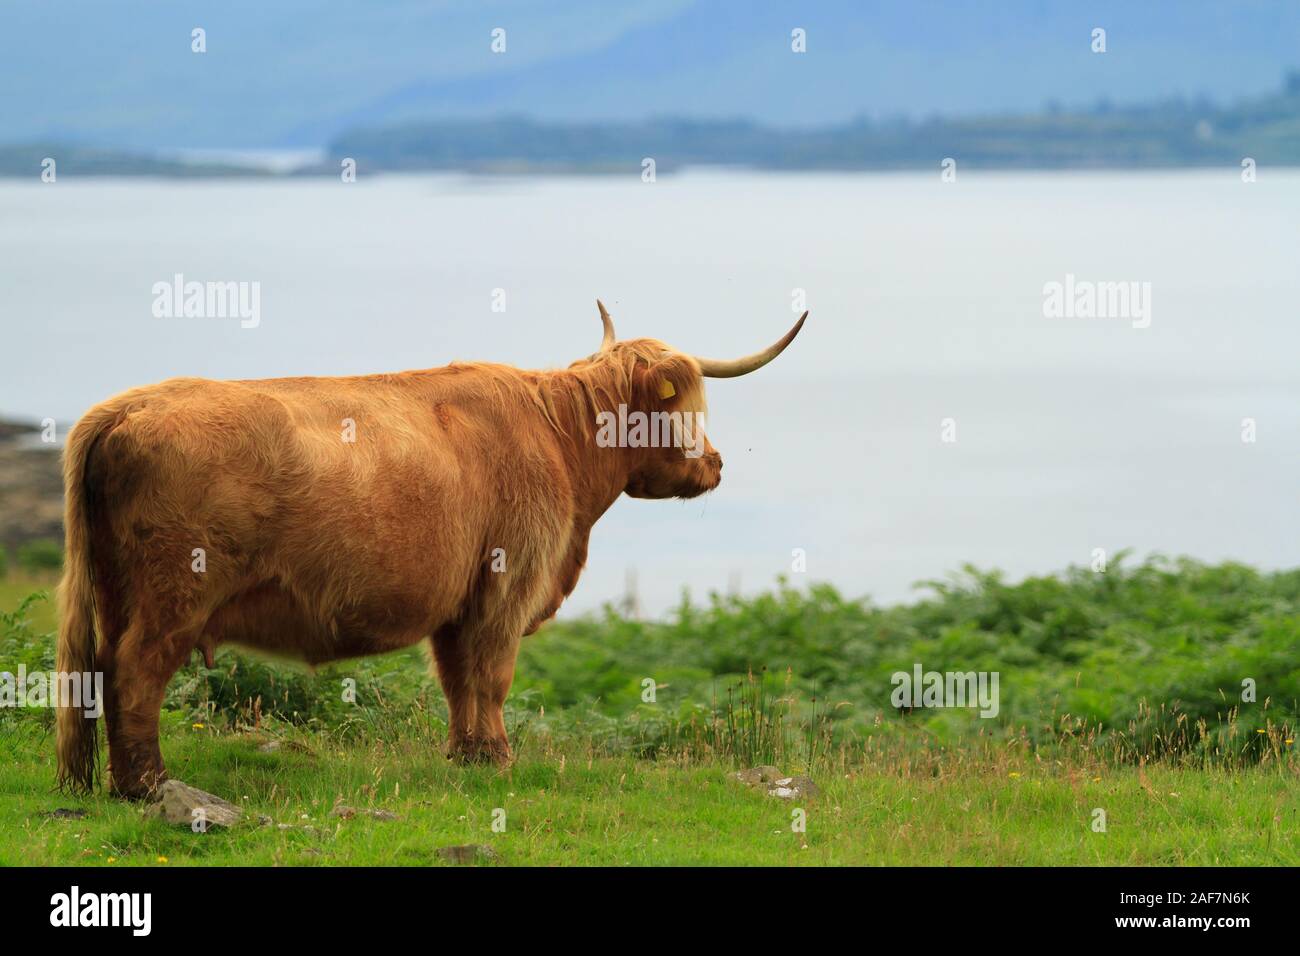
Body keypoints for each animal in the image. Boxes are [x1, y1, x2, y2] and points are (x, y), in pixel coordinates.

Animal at [55, 302, 806, 797]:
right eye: (681, 407)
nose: (715, 465)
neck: (561, 444)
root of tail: (123, 406)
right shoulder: (508, 585)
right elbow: (492, 676)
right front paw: (499, 760)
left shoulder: (459, 600)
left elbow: (457, 681)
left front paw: (466, 757)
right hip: (173, 596)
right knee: (134, 676)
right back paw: (149, 786)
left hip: (112, 594)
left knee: (95, 674)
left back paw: (101, 781)